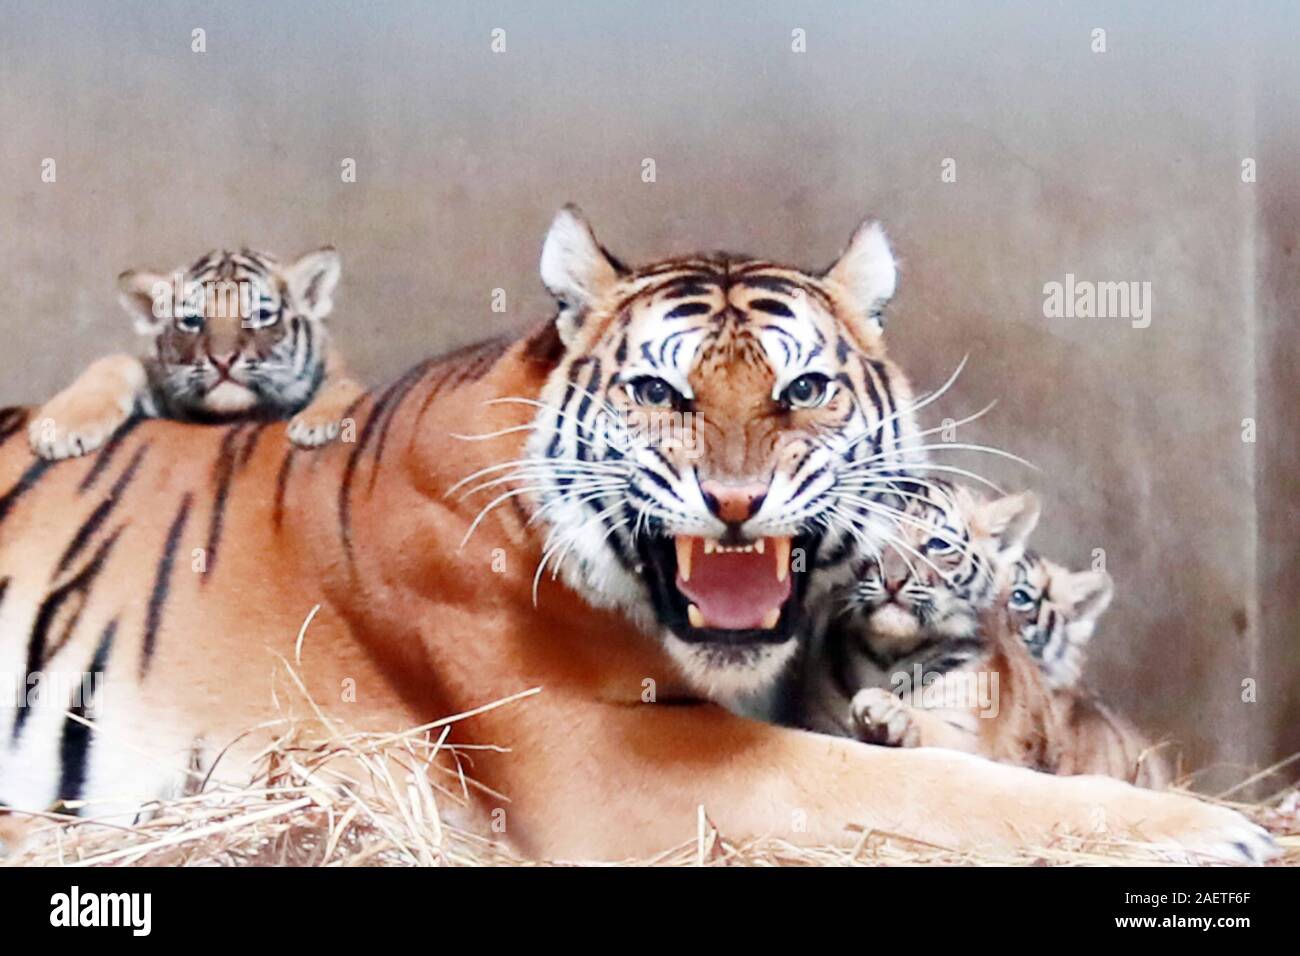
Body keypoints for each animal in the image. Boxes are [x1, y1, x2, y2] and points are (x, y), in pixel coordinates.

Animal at [27, 246, 363, 460]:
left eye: (261, 315)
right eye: (192, 320)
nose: (223, 359)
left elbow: (347, 386)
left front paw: (315, 424)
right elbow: (115, 362)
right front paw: (59, 429)